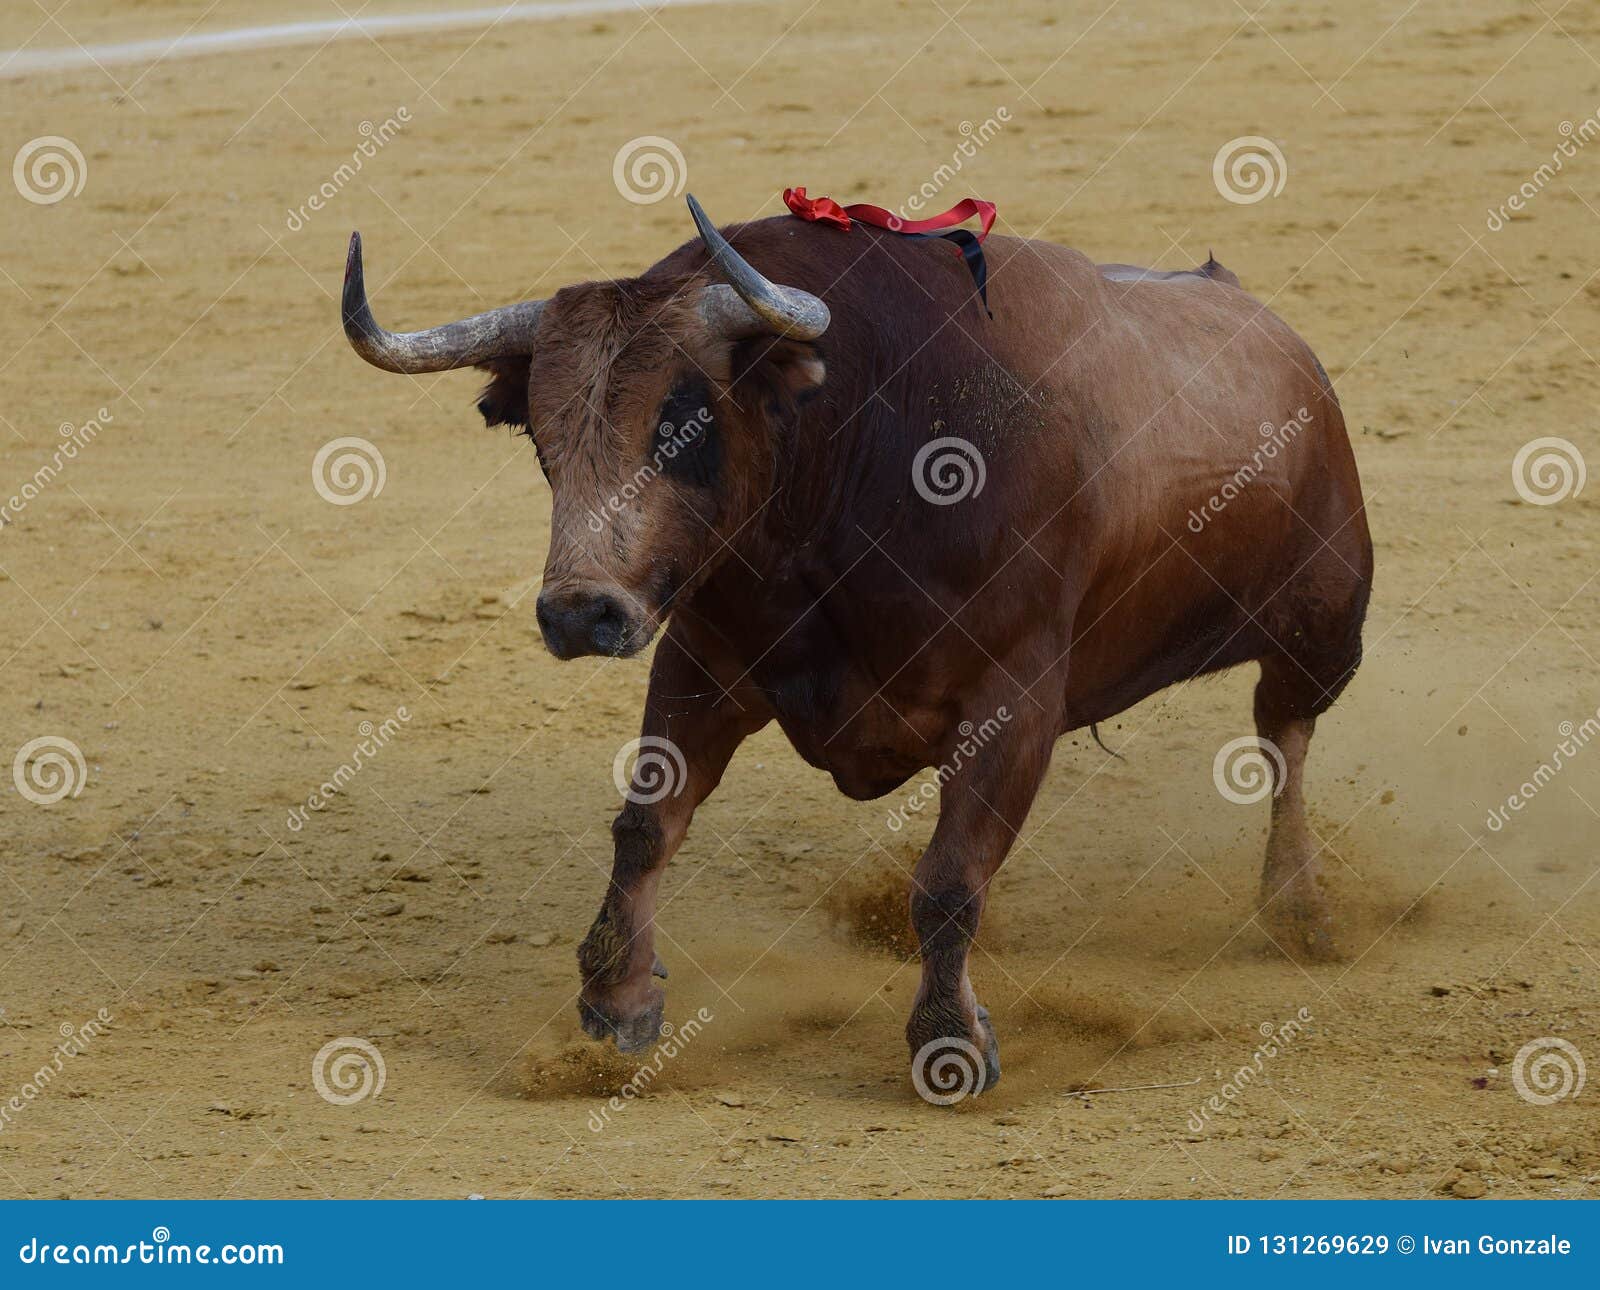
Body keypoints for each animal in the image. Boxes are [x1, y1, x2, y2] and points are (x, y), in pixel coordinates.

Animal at [340, 193, 1372, 1098]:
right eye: (544, 439)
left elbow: (948, 880)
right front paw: (615, 1003)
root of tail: (1281, 343)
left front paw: (951, 1042)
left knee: (1283, 740)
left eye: (686, 424)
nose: (578, 613)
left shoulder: (1015, 698)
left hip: (1324, 627)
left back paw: (1302, 910)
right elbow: (645, 826)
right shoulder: (699, 664)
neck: (849, 457)